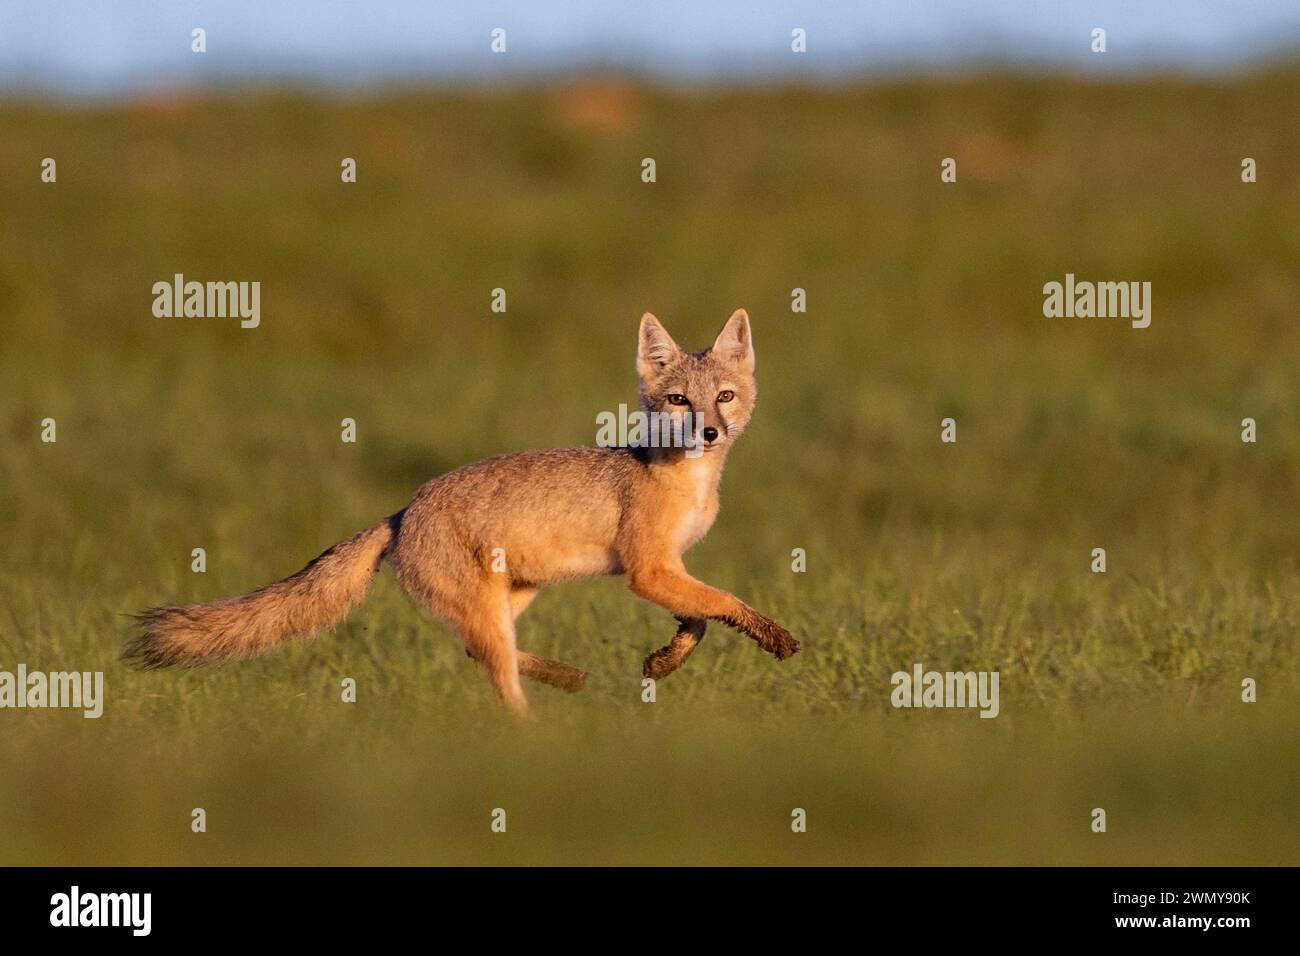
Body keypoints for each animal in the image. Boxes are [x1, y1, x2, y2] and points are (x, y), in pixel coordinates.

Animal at [126, 308, 799, 715]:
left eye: (725, 397)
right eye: (680, 400)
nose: (709, 432)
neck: (691, 482)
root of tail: (403, 510)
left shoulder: (668, 569)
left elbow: (701, 619)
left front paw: (664, 660)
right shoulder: (648, 570)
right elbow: (724, 602)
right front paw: (772, 636)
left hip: (511, 597)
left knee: (478, 653)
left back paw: (568, 678)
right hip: (489, 609)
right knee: (500, 683)